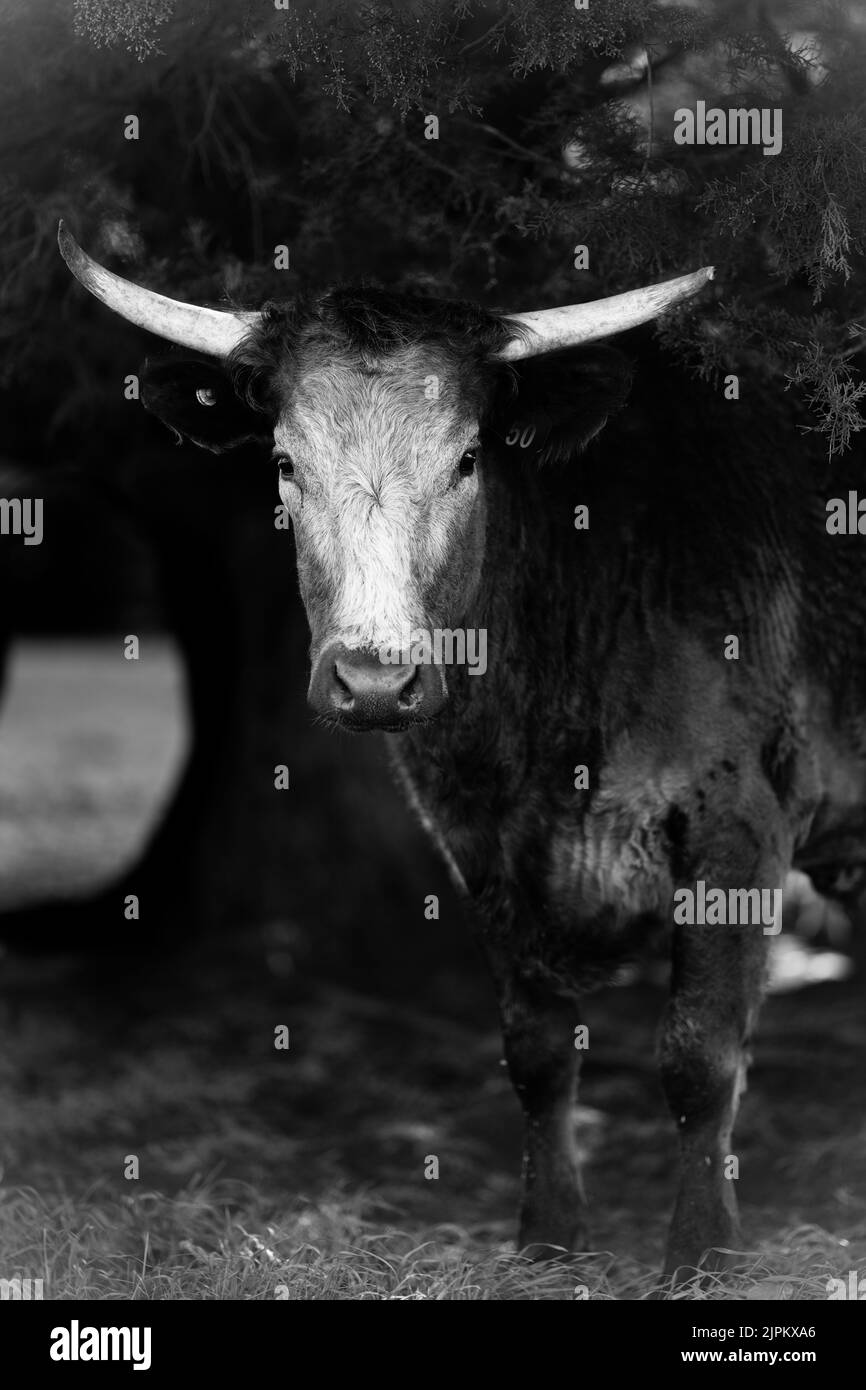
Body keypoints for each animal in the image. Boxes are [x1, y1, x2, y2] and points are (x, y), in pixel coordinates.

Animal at [58, 221, 866, 1283]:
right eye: (284, 464)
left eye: (469, 460)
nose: (372, 679)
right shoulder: (481, 847)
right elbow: (536, 1055)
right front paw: (548, 1244)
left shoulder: (737, 825)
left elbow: (698, 1055)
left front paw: (704, 1257)